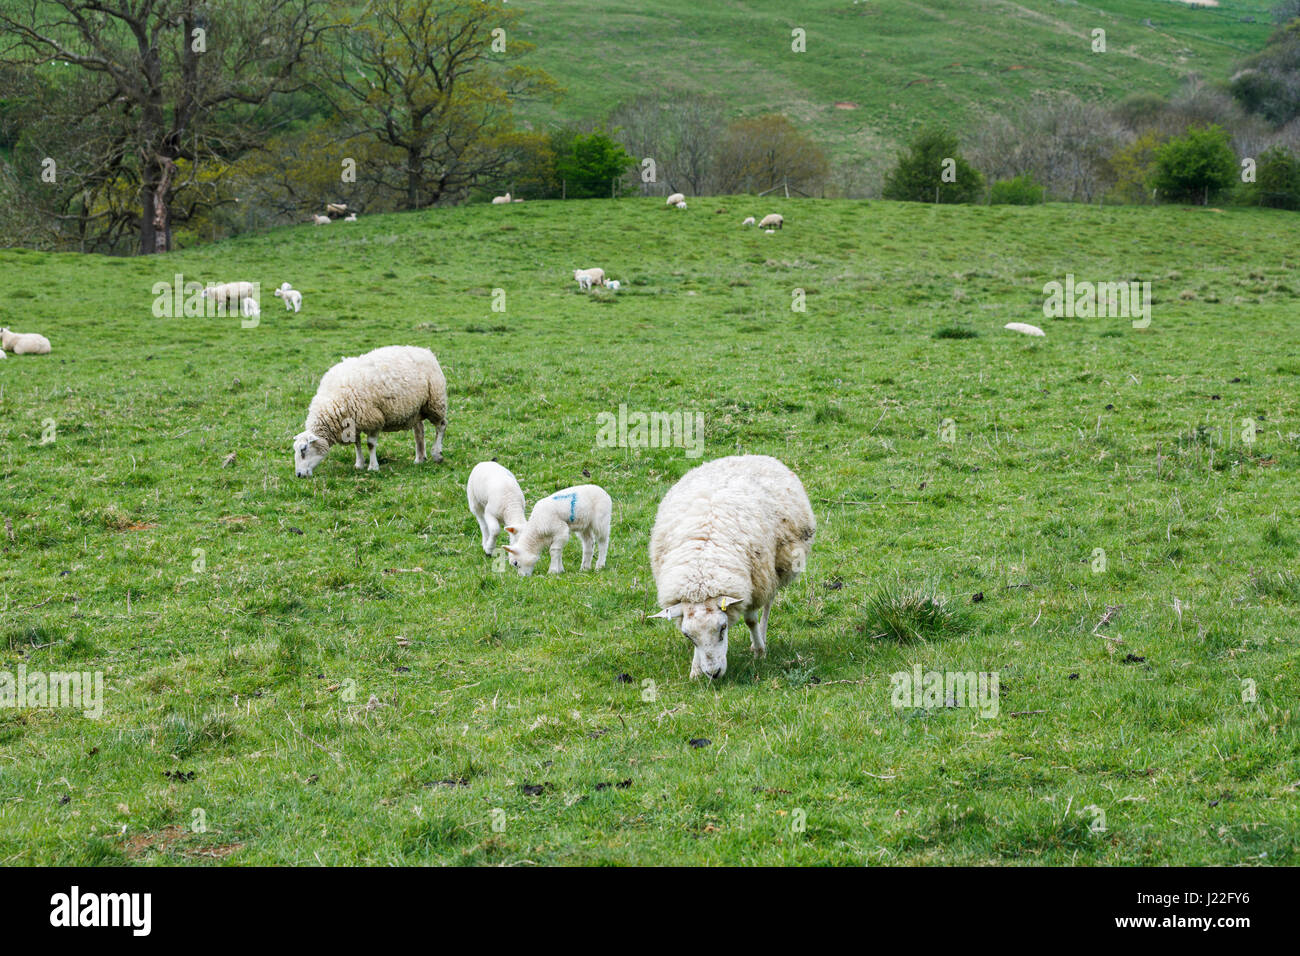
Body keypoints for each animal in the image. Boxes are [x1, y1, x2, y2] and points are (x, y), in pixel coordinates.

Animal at [293, 345, 447, 477]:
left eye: (303, 450)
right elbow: (357, 444)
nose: (299, 475)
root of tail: (425, 351)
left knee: (441, 425)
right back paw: (419, 458)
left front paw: (373, 467)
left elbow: (370, 444)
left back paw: (437, 454)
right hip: (415, 410)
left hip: (435, 401)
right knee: (419, 432)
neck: (334, 402)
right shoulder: (353, 423)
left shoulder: (373, 419)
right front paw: (359, 464)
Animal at [648, 455, 815, 679]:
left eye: (723, 628)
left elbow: (751, 620)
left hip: (776, 567)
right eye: (688, 636)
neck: (701, 569)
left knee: (769, 602)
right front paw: (695, 670)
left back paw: (761, 638)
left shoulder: (754, 584)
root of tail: (746, 456)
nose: (714, 673)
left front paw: (759, 651)